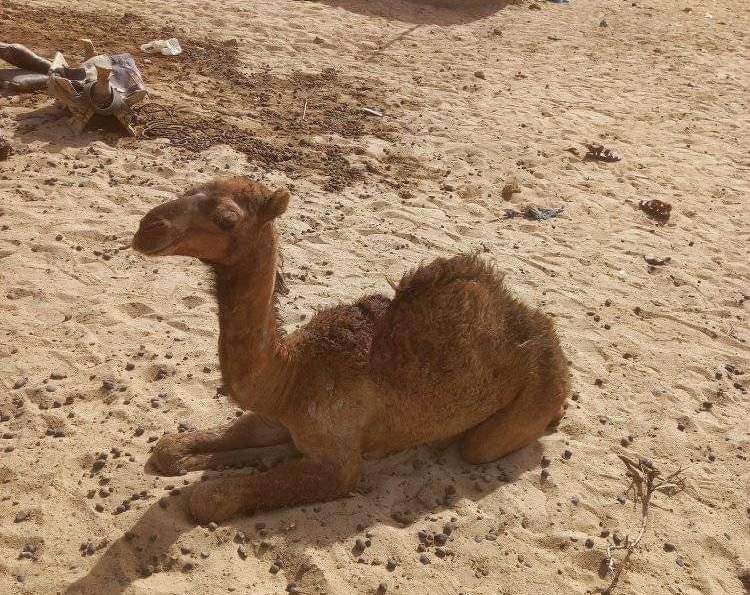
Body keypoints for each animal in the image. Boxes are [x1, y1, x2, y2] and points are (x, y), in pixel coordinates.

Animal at [131, 177, 569, 523]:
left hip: (528, 402)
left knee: (480, 446)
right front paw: (195, 458)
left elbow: (210, 498)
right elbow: (173, 446)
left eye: (227, 218)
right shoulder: (278, 417)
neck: (292, 377)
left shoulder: (337, 461)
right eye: (191, 187)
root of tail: (554, 344)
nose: (147, 226)